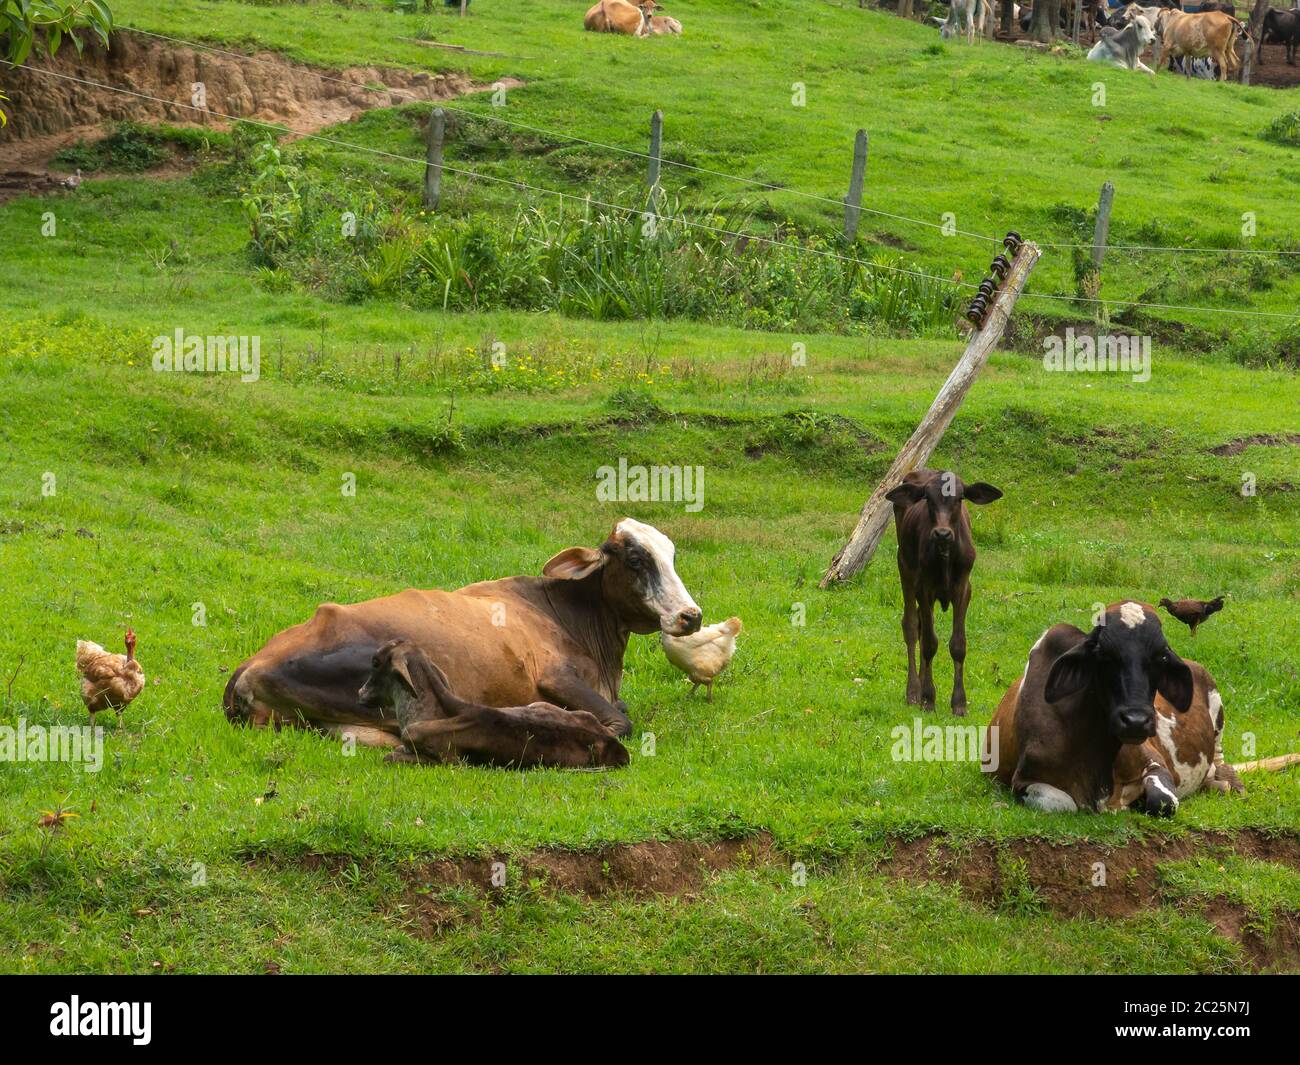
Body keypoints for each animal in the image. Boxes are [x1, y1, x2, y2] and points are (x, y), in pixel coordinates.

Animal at [224, 518, 702, 743]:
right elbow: (620, 721)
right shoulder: (556, 677)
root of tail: (249, 667)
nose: (691, 616)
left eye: (672, 556)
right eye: (636, 560)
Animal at [357, 639, 630, 769]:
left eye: (375, 661)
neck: (429, 710)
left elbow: (390, 756)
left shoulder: (449, 761)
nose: (360, 692)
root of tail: (617, 747)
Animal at [886, 469, 1003, 716]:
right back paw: (914, 691)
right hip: (904, 568)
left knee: (921, 626)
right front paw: (928, 699)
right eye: (928, 499)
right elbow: (930, 643)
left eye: (959, 499)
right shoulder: (924, 589)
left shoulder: (964, 590)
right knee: (911, 626)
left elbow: (958, 645)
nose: (942, 533)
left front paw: (959, 703)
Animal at [987, 601, 1242, 816]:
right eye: (1103, 655)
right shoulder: (1024, 781)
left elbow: (1163, 801)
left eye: (1161, 656)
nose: (1136, 721)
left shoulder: (1156, 763)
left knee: (1218, 763)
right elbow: (1066, 804)